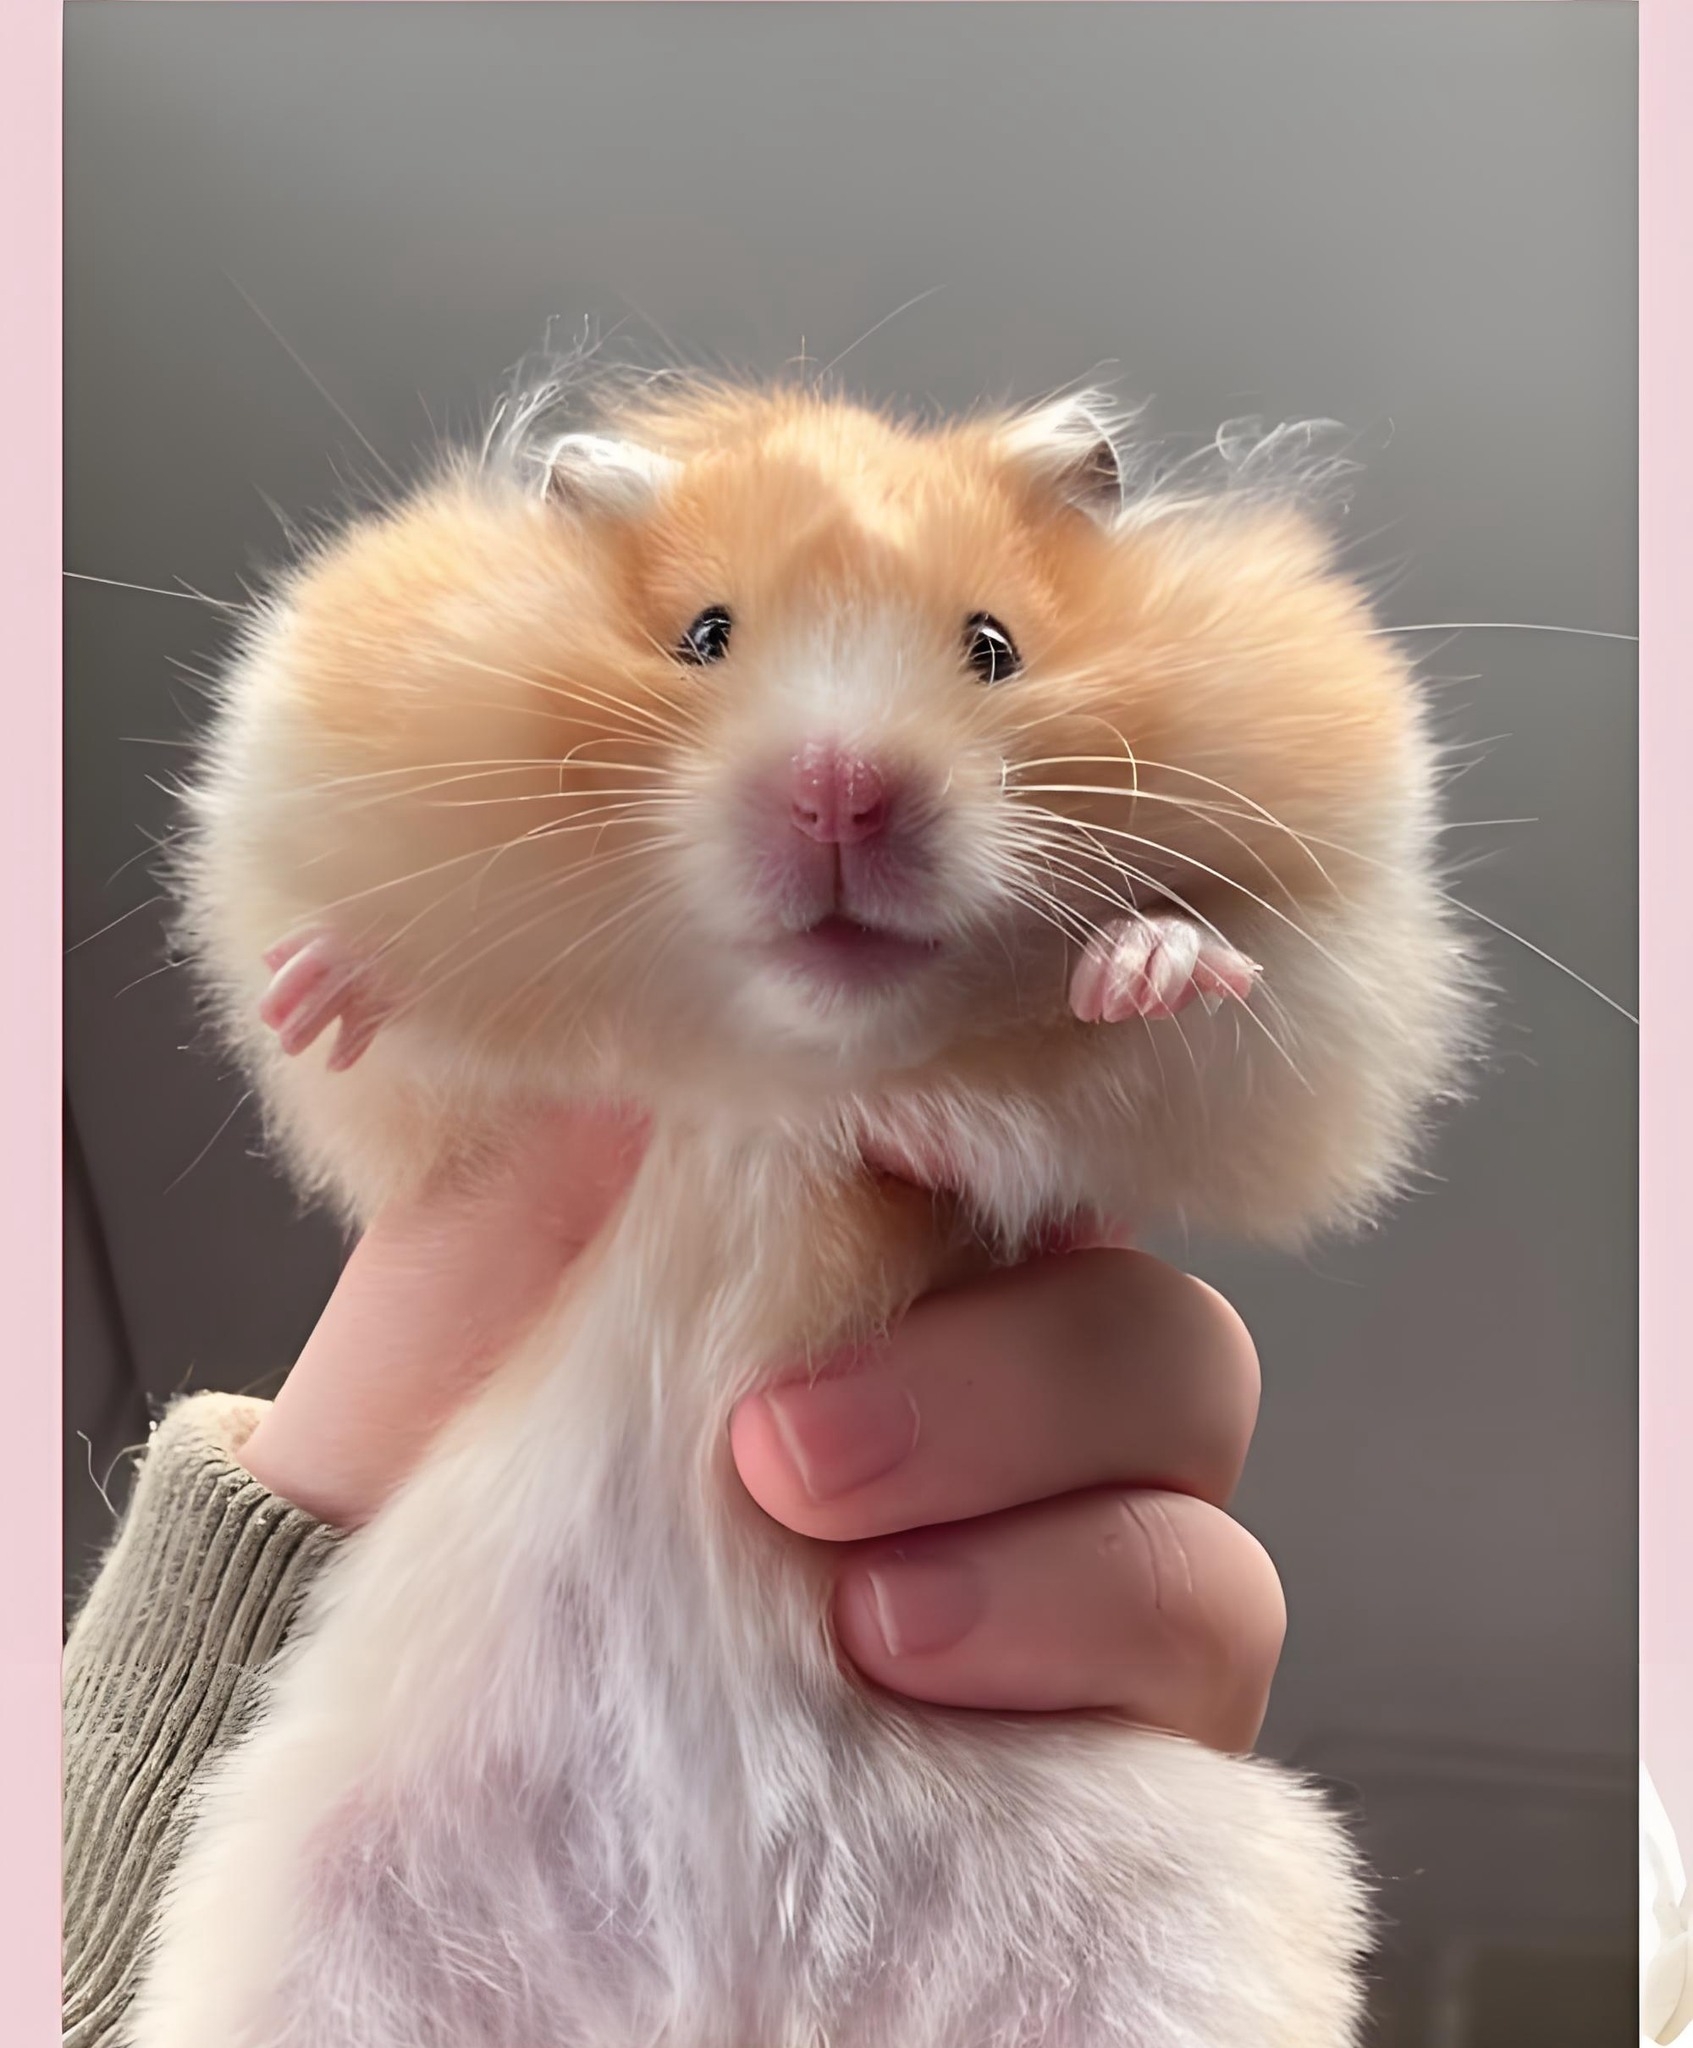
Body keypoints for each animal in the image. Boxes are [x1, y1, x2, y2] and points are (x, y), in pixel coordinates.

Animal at [128, 367, 1476, 2048]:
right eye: (703, 635)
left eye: (993, 645)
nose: (844, 792)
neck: (785, 1065)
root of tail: (741, 2002)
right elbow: (391, 1042)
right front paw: (319, 987)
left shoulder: (1331, 996)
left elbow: (1213, 1015)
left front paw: (1151, 962)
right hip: (313, 1932)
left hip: (1178, 1913)